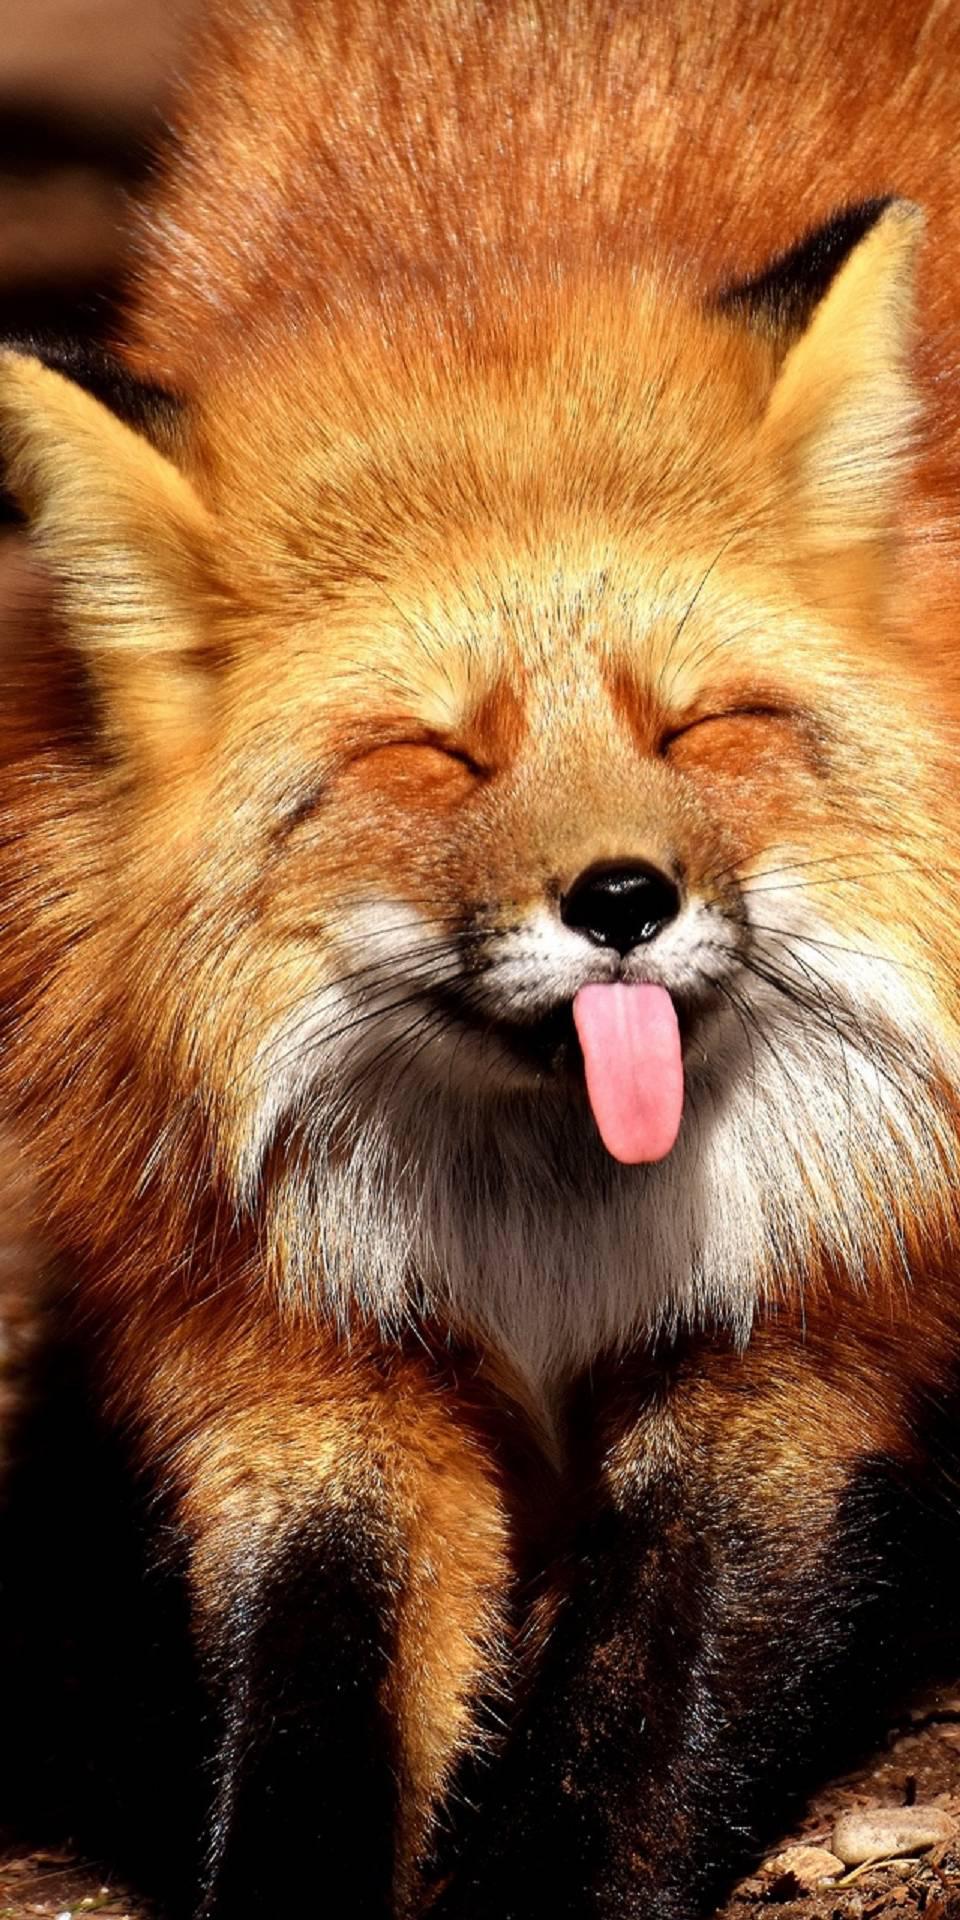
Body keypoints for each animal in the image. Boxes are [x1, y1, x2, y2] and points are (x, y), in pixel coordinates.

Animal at [2, 0, 960, 1914]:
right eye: (435, 755)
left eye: (696, 726)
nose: (622, 900)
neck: (551, 1227)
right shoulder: (293, 1349)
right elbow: (316, 1685)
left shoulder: (814, 1326)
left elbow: (643, 1716)